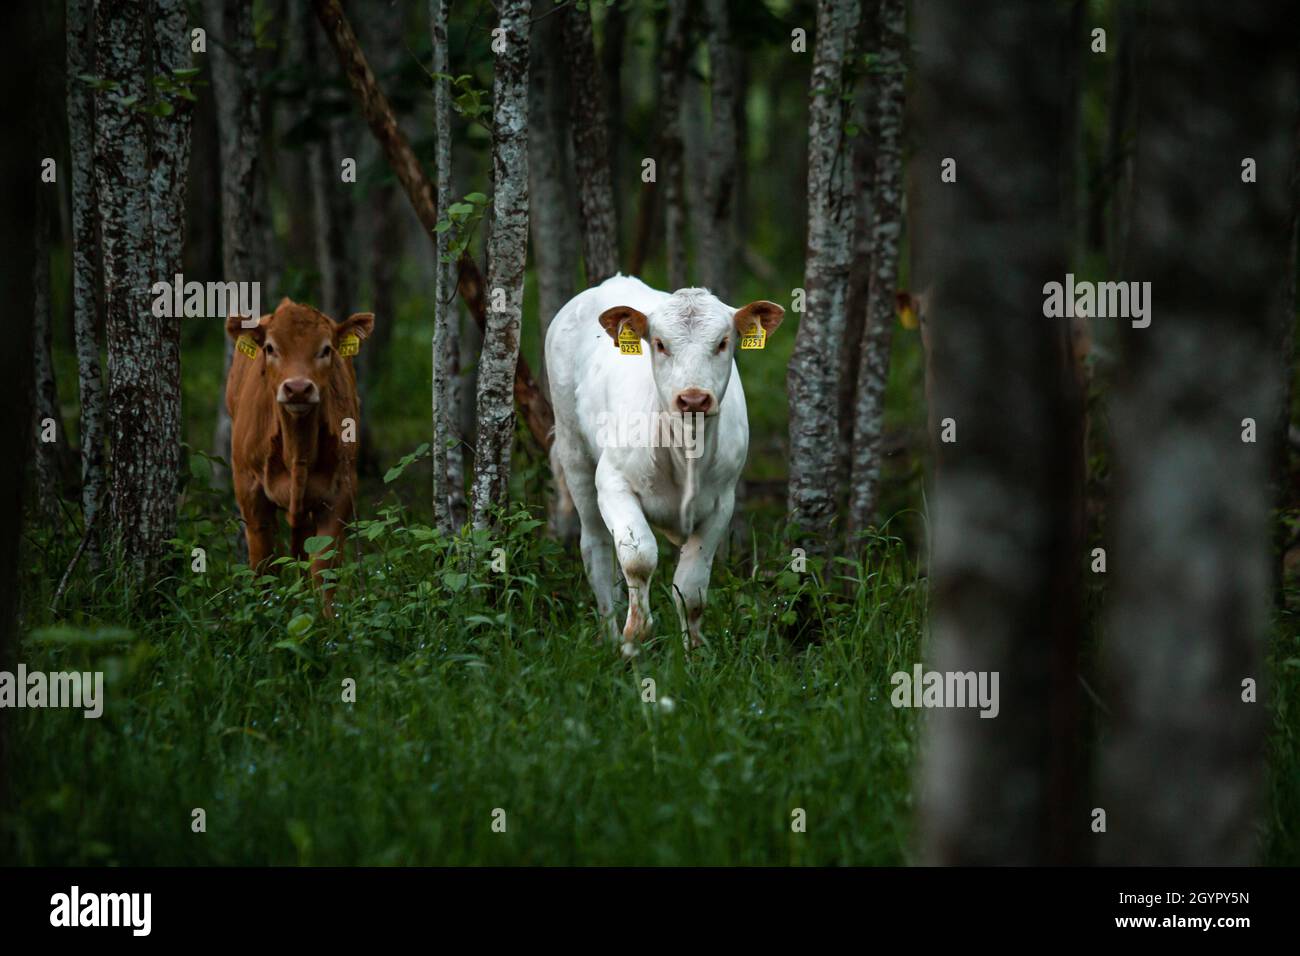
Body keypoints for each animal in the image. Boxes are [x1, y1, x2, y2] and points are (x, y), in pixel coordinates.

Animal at [224, 298, 375, 614]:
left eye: (326, 349)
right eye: (270, 348)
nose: (297, 388)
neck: (297, 450)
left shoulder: (341, 490)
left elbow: (323, 566)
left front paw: (325, 620)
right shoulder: (248, 489)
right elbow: (263, 564)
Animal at [545, 275, 784, 656]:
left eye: (722, 342)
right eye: (659, 343)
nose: (693, 398)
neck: (687, 454)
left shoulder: (723, 501)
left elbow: (691, 587)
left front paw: (694, 654)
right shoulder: (613, 483)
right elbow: (639, 559)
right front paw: (633, 641)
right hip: (575, 453)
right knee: (596, 550)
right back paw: (610, 635)